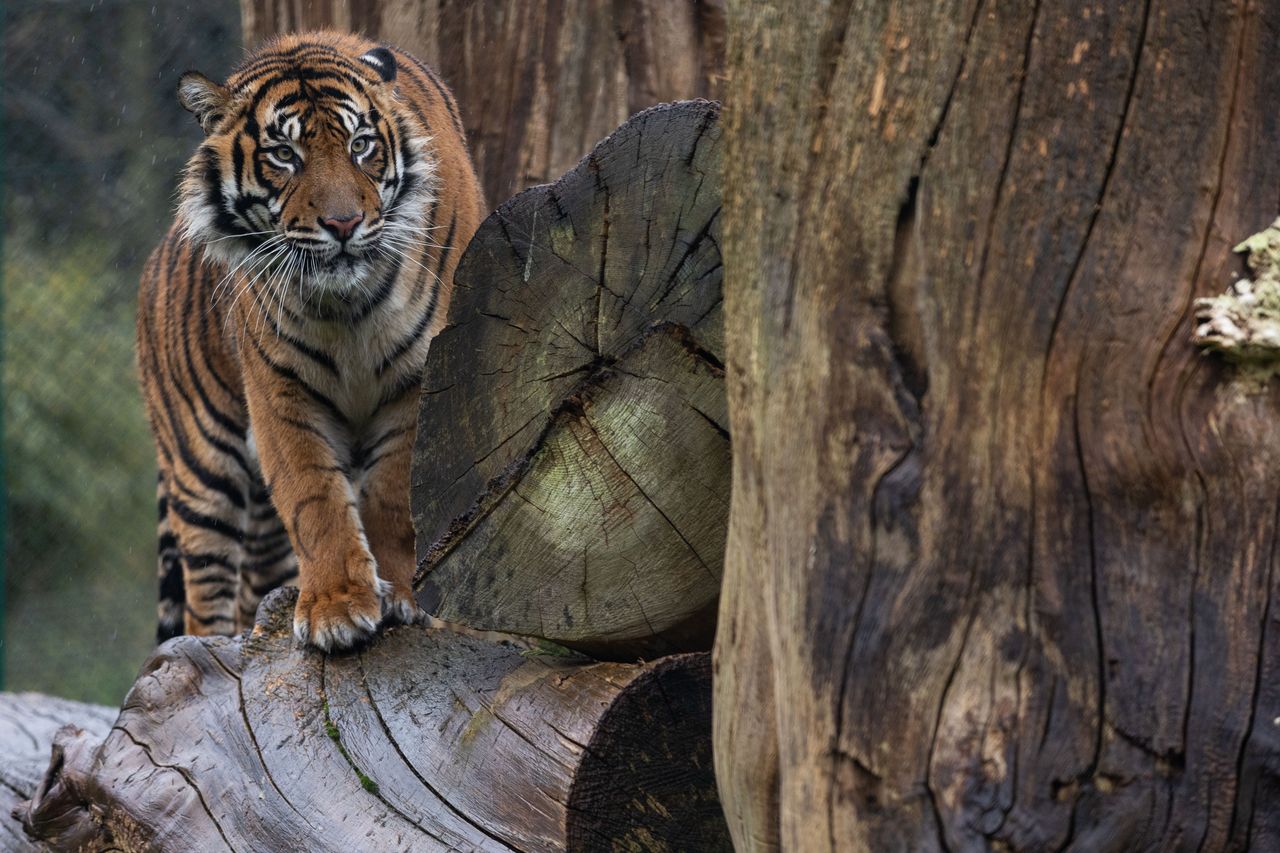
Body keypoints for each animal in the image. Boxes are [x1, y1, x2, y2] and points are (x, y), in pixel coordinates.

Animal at [137, 31, 484, 651]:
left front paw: (399, 596)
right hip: (203, 473)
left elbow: (394, 493)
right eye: (283, 155)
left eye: (361, 146)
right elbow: (314, 496)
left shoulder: (420, 376)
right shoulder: (281, 389)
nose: (343, 224)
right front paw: (336, 609)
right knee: (205, 600)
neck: (347, 307)